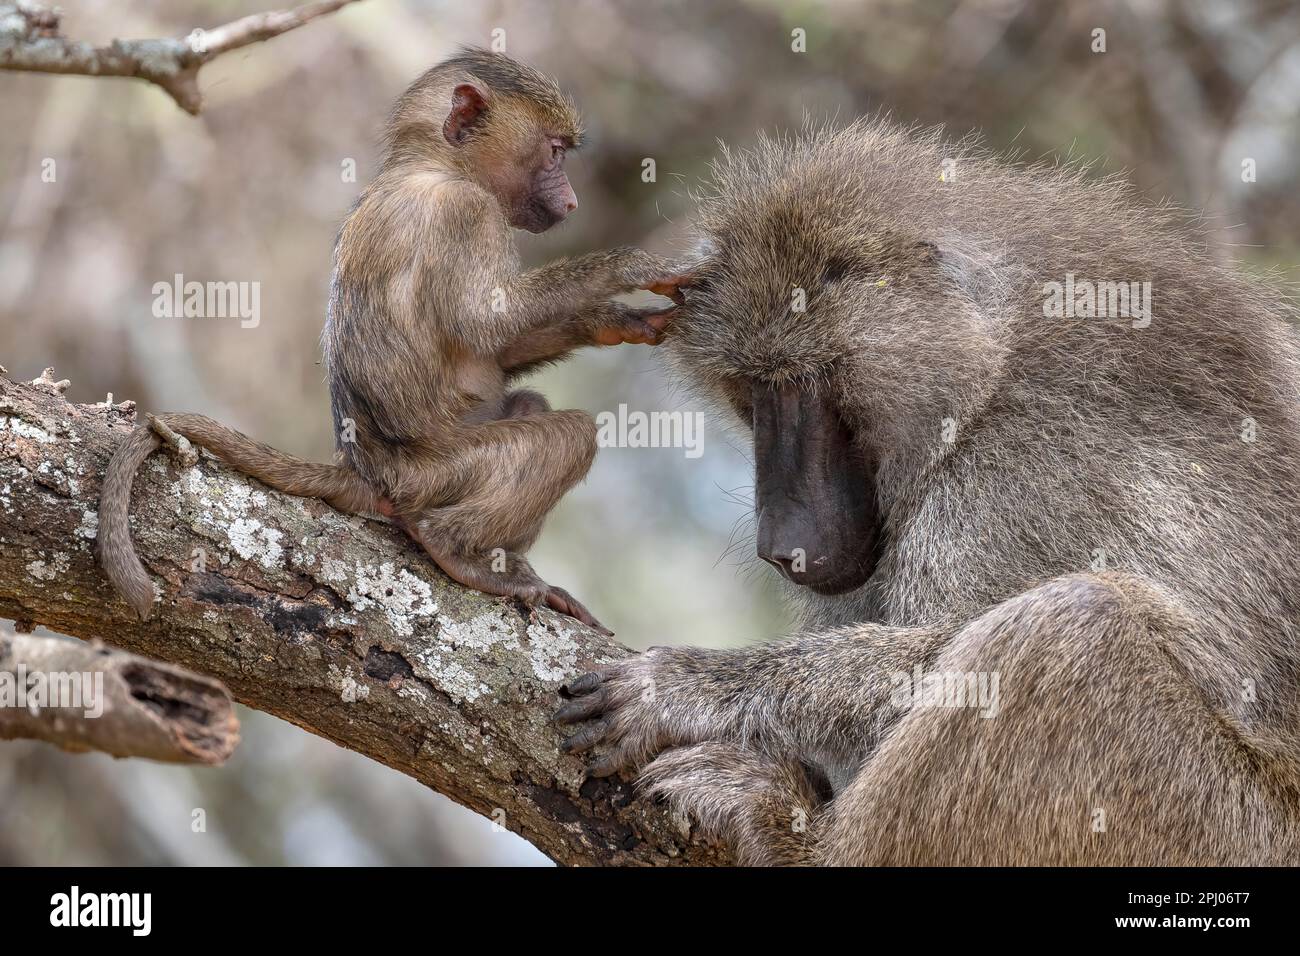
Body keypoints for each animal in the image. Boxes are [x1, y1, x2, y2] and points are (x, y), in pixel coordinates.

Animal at [97, 48, 681, 633]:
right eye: (554, 152)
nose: (573, 201)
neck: (433, 163)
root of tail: (361, 469)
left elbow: (496, 348)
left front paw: (616, 320)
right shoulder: (466, 211)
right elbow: (490, 320)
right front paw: (631, 266)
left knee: (530, 404)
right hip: (431, 475)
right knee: (567, 436)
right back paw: (455, 550)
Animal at [556, 118, 1300, 864]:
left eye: (809, 382)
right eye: (754, 393)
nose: (781, 545)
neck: (992, 369)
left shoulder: (1024, 471)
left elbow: (945, 651)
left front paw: (684, 683)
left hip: (1224, 829)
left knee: (1074, 624)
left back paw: (795, 837)